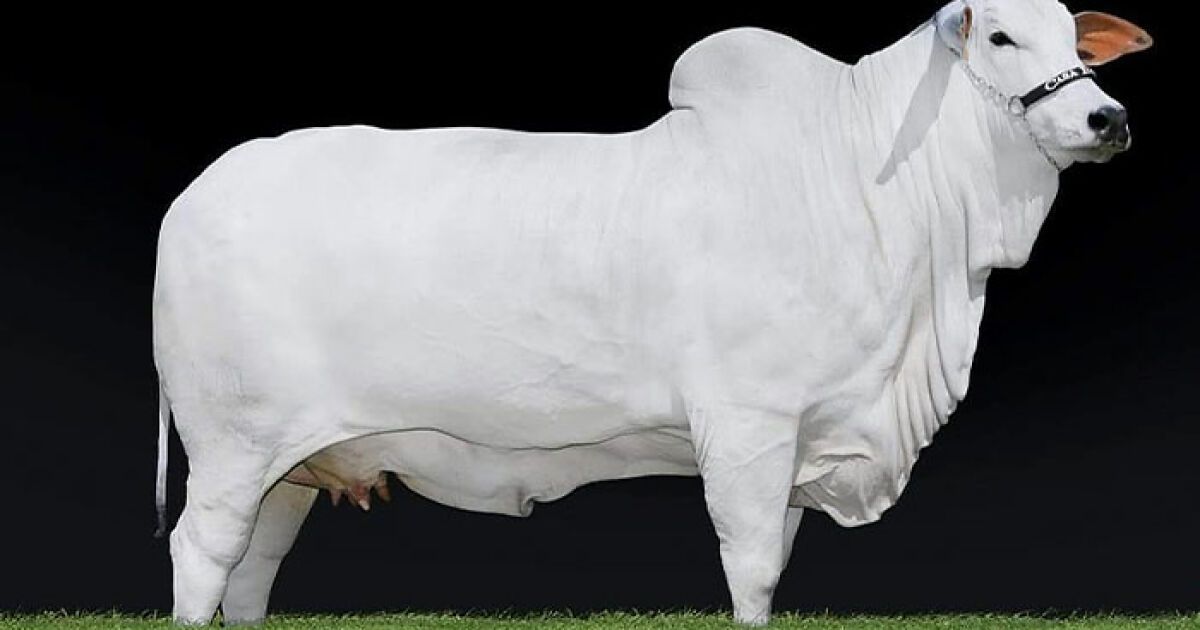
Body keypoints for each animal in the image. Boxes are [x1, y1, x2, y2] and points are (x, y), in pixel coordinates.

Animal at [152, 0, 1151, 625]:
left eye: (1079, 43)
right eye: (1002, 39)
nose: (1107, 118)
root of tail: (196, 192)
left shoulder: (801, 439)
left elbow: (775, 562)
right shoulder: (748, 425)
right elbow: (751, 568)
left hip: (291, 467)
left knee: (253, 571)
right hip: (232, 445)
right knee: (203, 555)